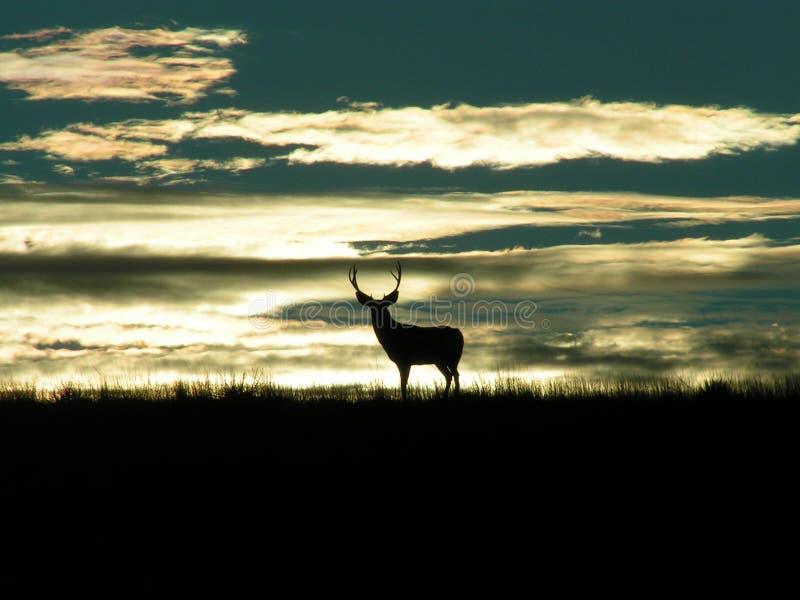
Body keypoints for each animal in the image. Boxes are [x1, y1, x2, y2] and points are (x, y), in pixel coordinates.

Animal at [349, 261, 464, 400]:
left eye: (385, 305)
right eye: (372, 306)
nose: (379, 316)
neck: (392, 336)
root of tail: (459, 334)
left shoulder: (405, 360)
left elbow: (403, 384)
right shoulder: (402, 362)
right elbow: (403, 383)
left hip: (449, 357)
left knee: (453, 375)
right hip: (443, 360)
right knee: (451, 375)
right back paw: (446, 396)